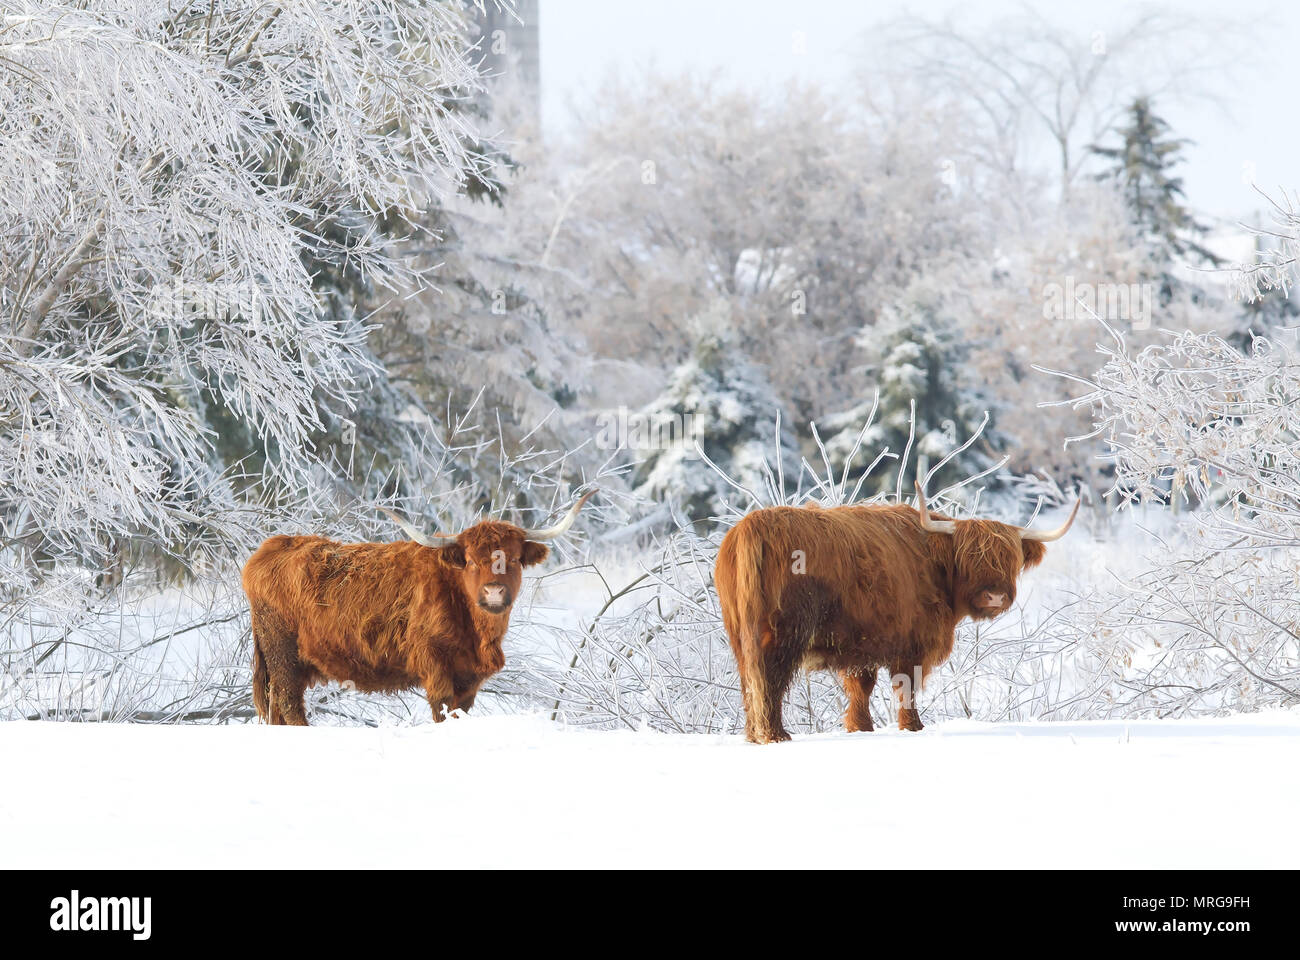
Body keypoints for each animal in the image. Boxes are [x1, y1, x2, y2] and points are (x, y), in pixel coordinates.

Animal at [242, 491, 595, 725]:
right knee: (288, 704)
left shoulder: (469, 680)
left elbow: (460, 714)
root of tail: (274, 546)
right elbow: (443, 713)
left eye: (515, 558)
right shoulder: (435, 666)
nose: (494, 591)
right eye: (470, 560)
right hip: (283, 655)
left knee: (276, 708)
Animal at [715, 482, 1078, 743]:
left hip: (740, 635)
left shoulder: (861, 643)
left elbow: (860, 687)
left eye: (1010, 558)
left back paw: (753, 735)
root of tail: (751, 526)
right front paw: (913, 727)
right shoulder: (912, 641)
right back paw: (775, 735)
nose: (995, 596)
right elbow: (906, 685)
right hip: (783, 632)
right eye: (970, 557)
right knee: (769, 679)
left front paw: (860, 727)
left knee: (749, 679)